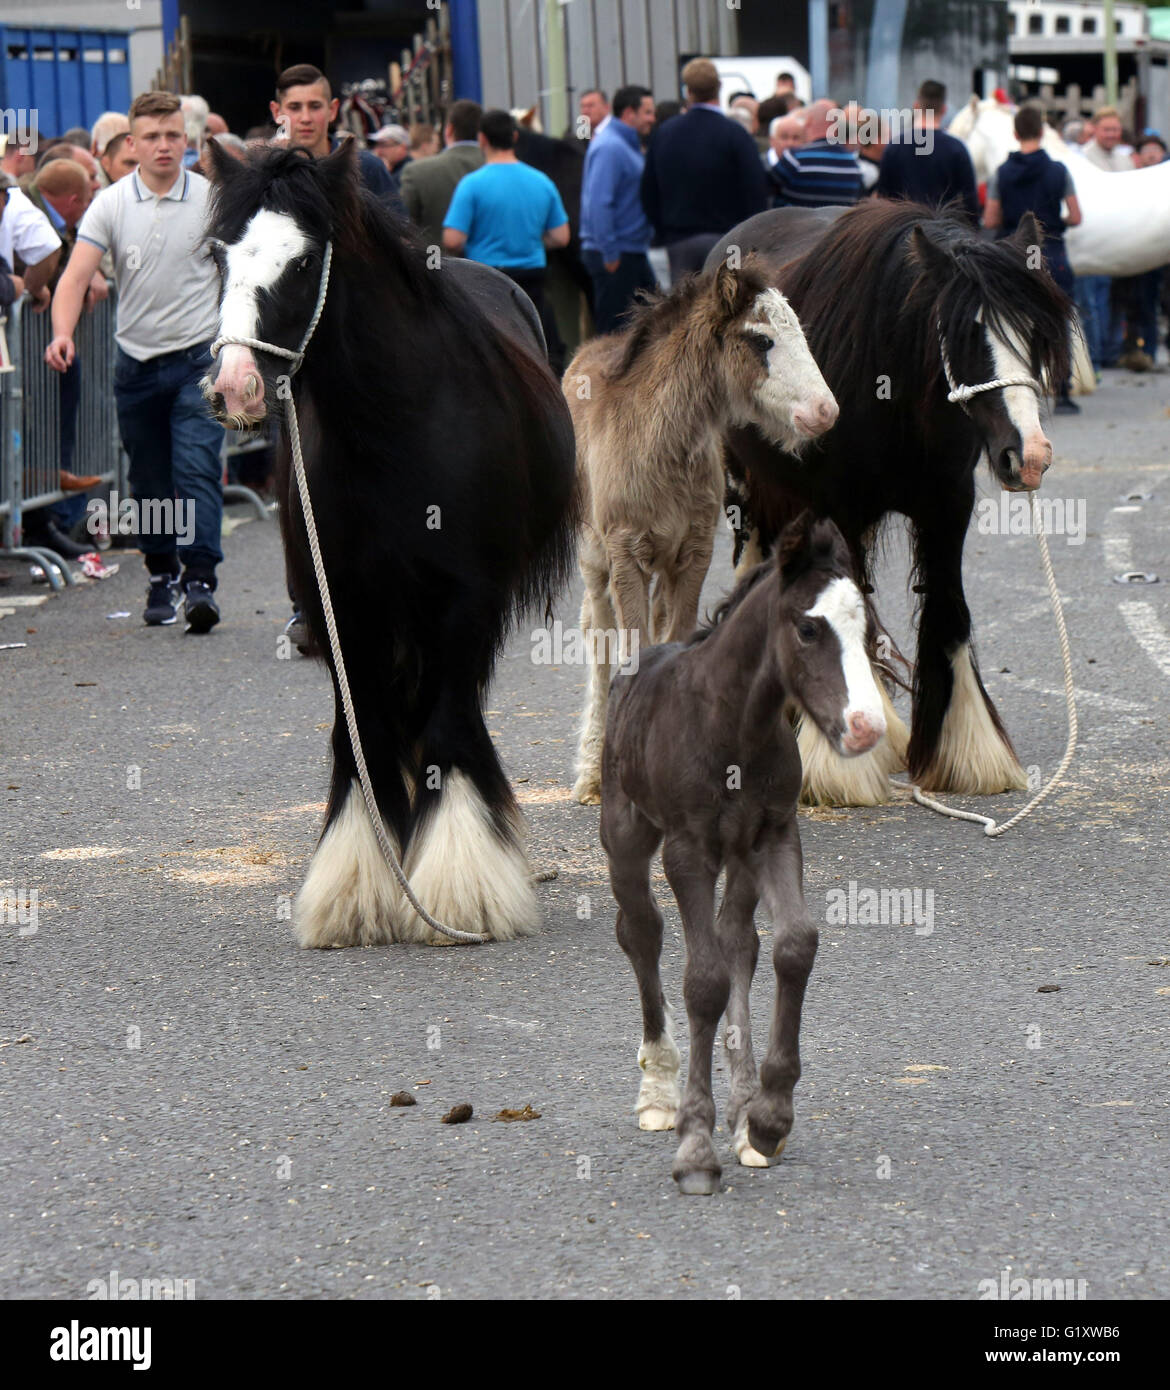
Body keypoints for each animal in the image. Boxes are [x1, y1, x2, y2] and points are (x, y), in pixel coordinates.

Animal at [202, 139, 578, 946]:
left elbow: (447, 728)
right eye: (220, 255)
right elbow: (361, 731)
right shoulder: (340, 603)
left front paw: (462, 886)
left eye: (303, 261)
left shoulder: (464, 602)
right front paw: (362, 882)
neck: (396, 426)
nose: (235, 387)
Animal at [564, 262, 838, 805]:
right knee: (599, 635)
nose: (825, 411)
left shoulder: (693, 555)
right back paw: (590, 770)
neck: (660, 440)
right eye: (761, 339)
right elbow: (630, 648)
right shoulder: (625, 554)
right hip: (594, 560)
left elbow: (675, 638)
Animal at [601, 512, 886, 1195]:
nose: (866, 727)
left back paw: (741, 1105)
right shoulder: (687, 849)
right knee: (641, 932)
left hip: (742, 857)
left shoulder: (775, 834)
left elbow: (793, 947)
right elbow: (700, 981)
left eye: (866, 628)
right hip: (625, 834)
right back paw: (659, 1088)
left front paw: (767, 1119)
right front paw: (695, 1146)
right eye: (808, 628)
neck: (732, 725)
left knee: (739, 942)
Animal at [704, 199, 1073, 804]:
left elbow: (949, 613)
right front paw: (842, 771)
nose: (1030, 456)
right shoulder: (841, 510)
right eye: (966, 334)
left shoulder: (948, 507)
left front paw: (967, 754)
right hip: (750, 489)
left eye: (1033, 332)